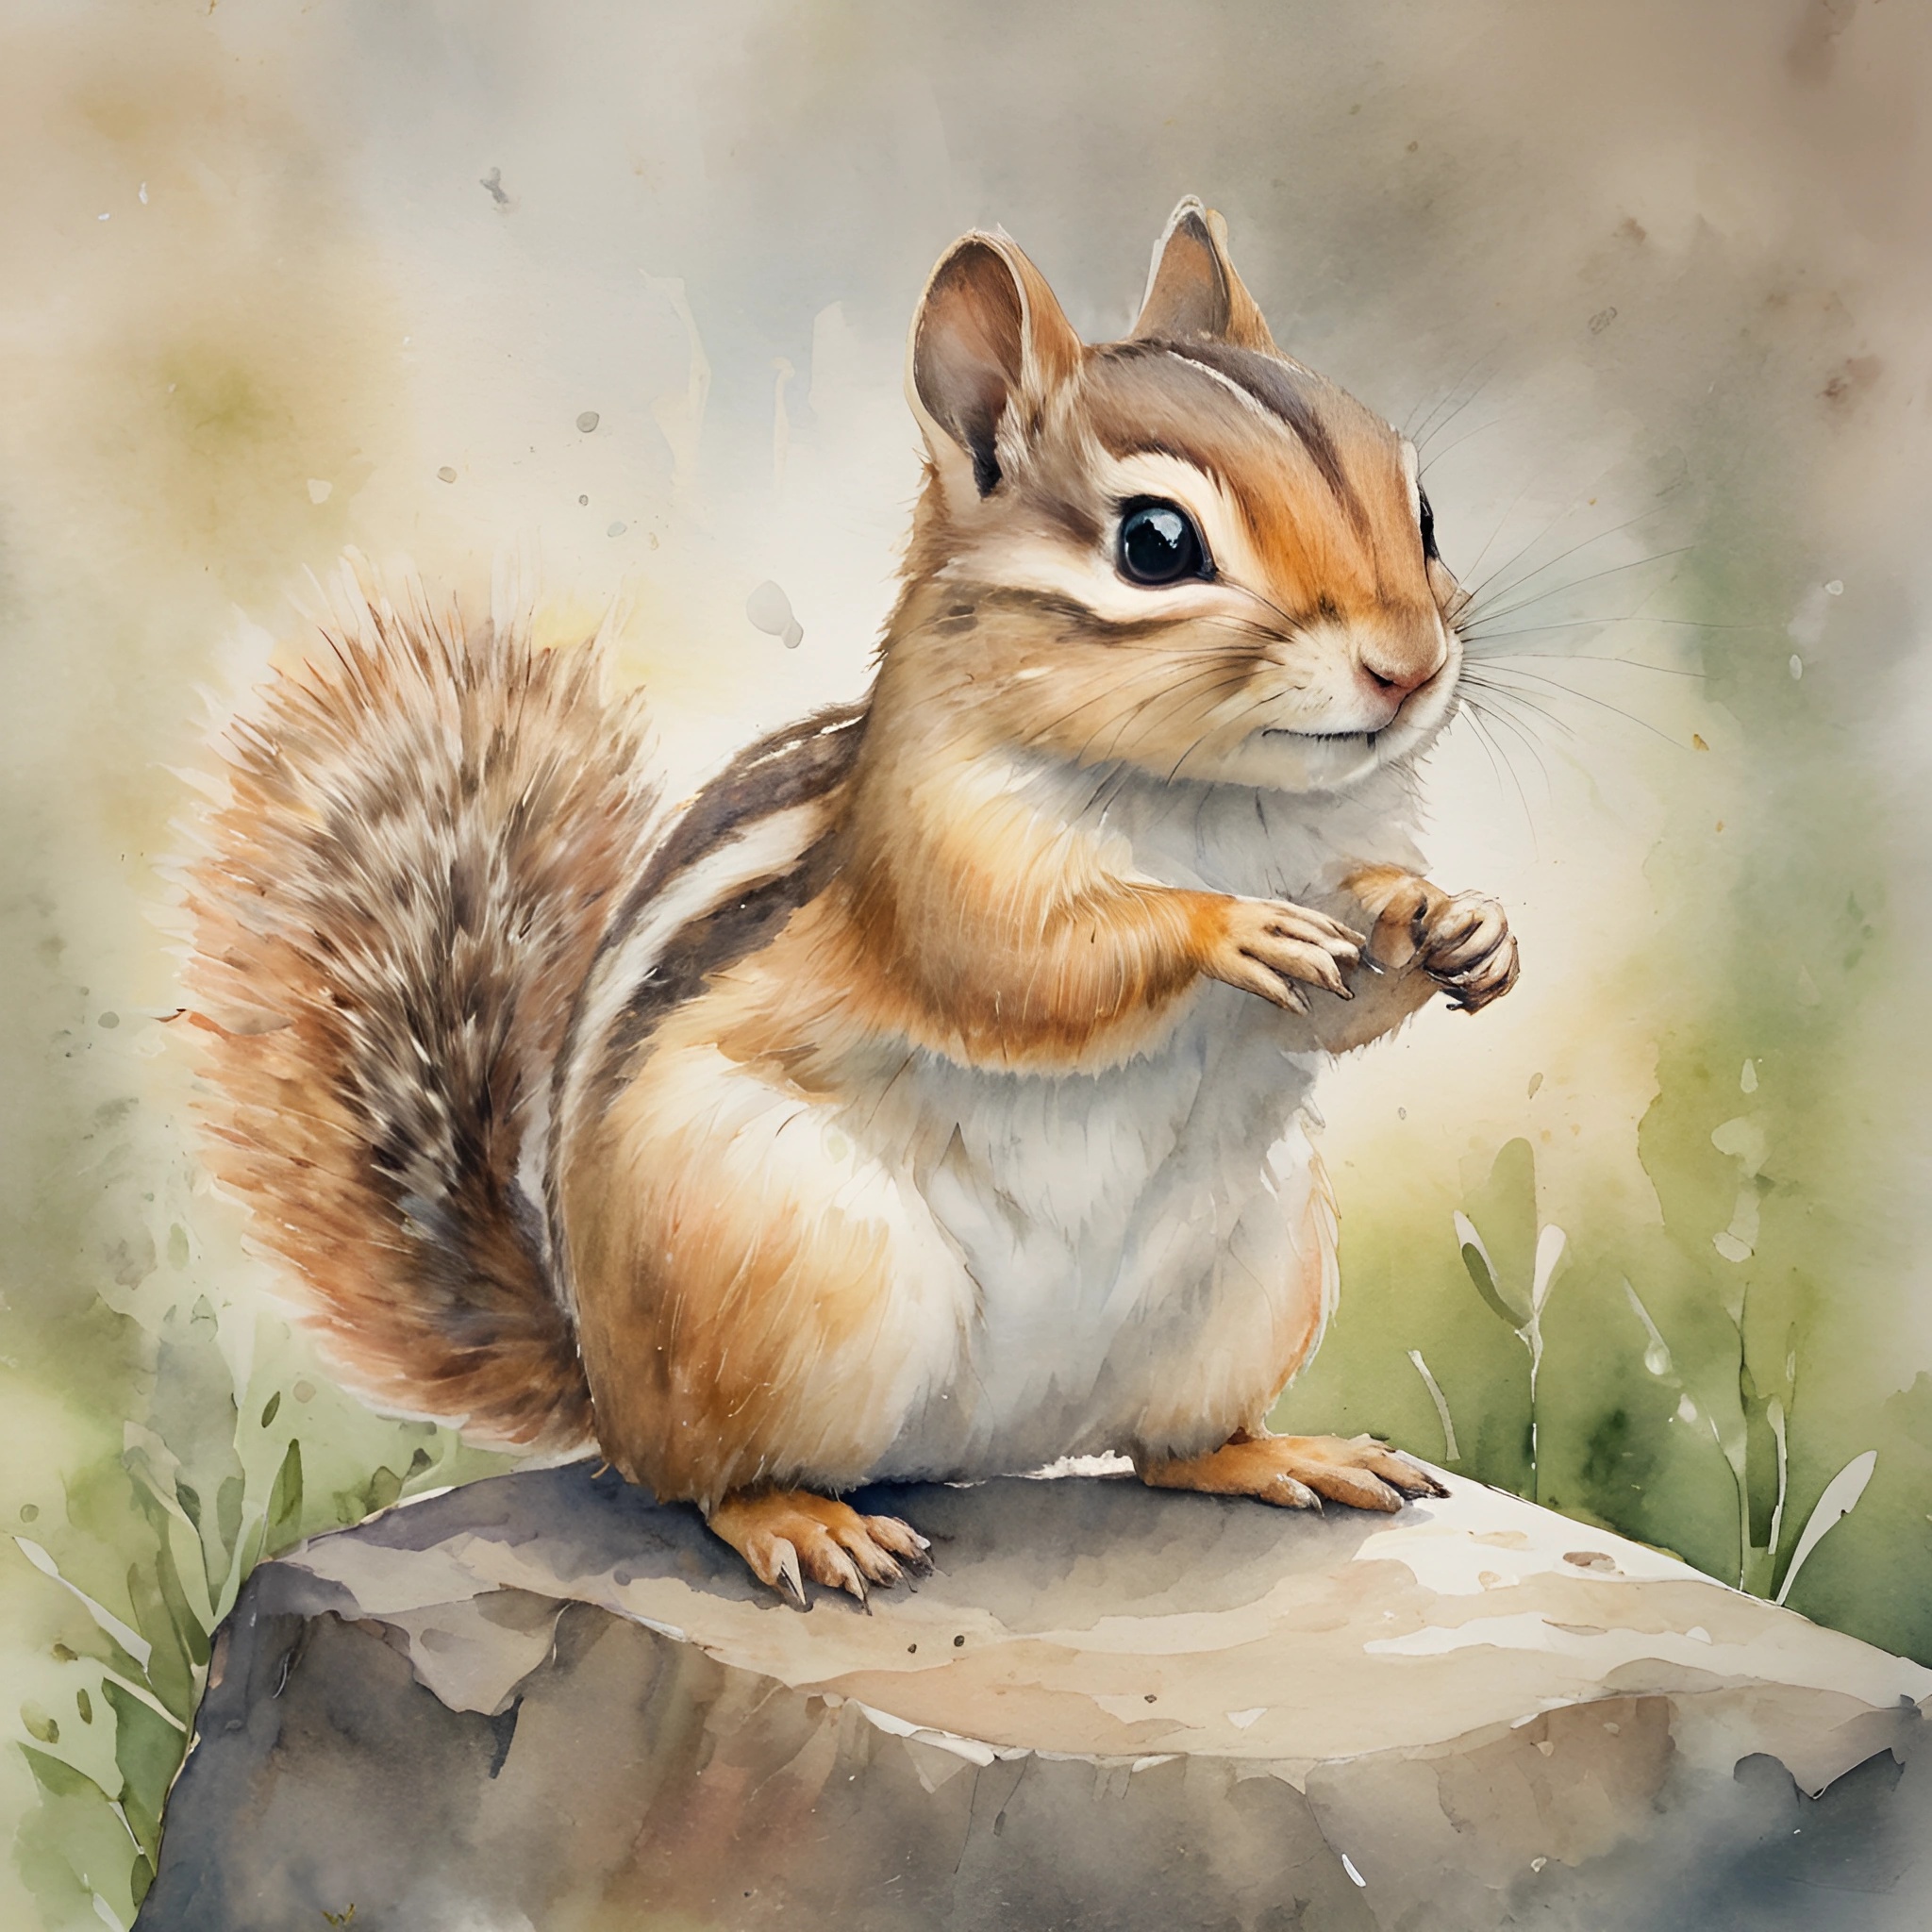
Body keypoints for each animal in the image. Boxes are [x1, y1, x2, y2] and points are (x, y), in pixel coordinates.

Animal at [186, 199, 1518, 1609]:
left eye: (1423, 507)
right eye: (1156, 544)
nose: (1408, 666)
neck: (1221, 802)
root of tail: (601, 1386)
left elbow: (1344, 995)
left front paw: (1459, 925)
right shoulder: (932, 864)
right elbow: (1019, 968)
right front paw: (1229, 927)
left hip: (1253, 1275)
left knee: (1168, 1448)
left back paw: (1289, 1456)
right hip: (786, 1272)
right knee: (705, 1479)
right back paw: (804, 1524)